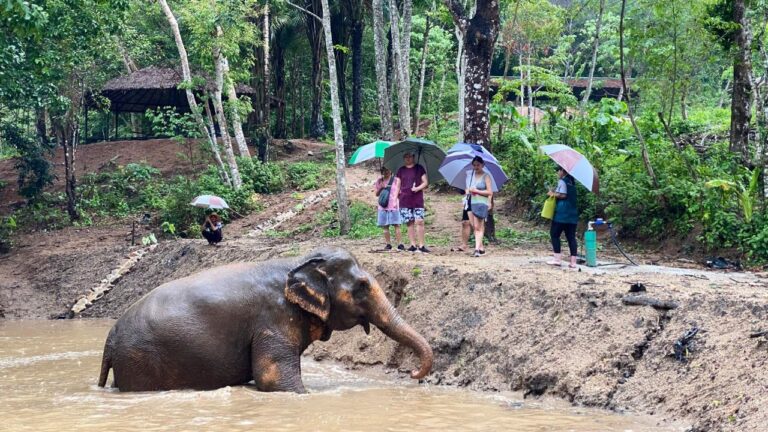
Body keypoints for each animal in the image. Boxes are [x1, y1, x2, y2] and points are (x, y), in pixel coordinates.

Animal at [97, 247, 432, 392]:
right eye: (362, 286)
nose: (412, 374)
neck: (297, 261)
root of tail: (109, 340)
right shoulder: (273, 318)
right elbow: (273, 378)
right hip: (140, 361)